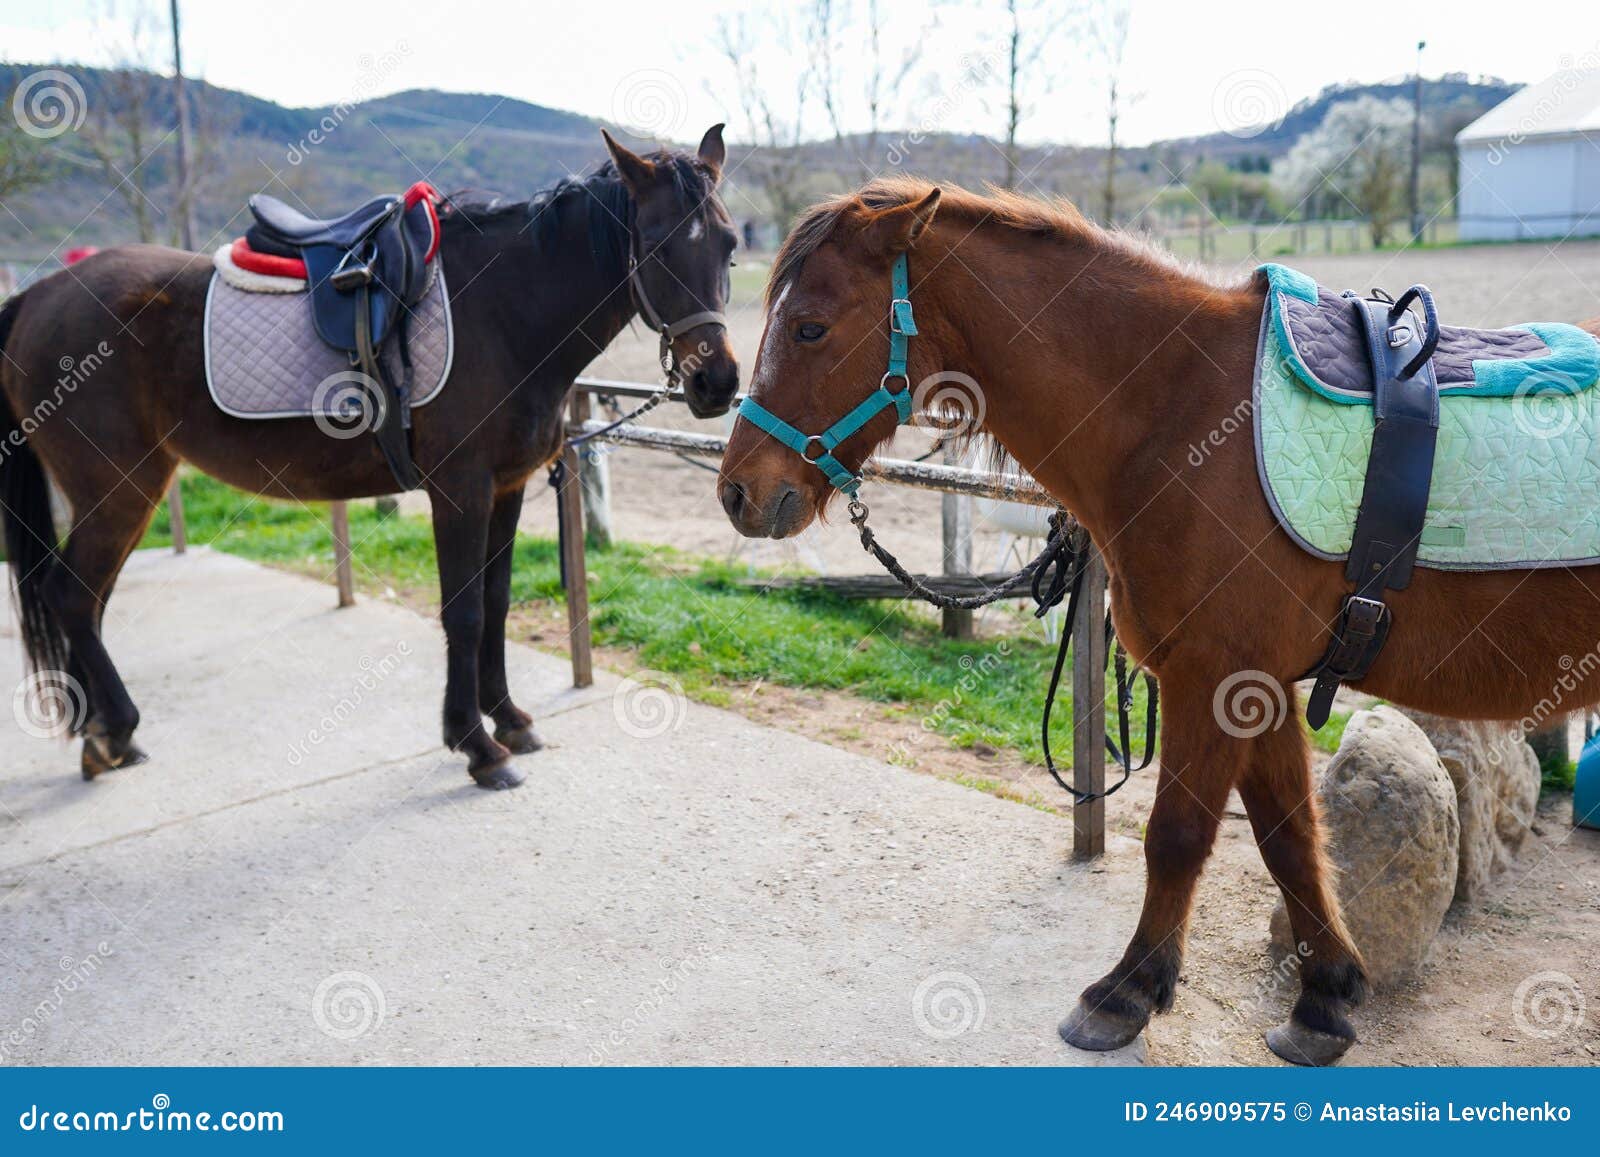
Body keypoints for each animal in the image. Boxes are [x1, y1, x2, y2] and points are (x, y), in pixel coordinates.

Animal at [0, 126, 739, 790]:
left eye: (731, 247)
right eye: (658, 244)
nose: (718, 382)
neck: (502, 310)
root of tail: (37, 295)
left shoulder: (505, 488)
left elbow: (496, 602)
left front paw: (509, 719)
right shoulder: (461, 489)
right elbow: (463, 612)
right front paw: (476, 745)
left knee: (87, 600)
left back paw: (103, 736)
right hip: (118, 489)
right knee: (72, 595)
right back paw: (115, 729)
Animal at [713, 176, 1600, 1065]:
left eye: (810, 325)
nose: (737, 491)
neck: (1181, 410)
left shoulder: (1216, 678)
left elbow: (1177, 835)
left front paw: (1127, 992)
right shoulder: (1262, 684)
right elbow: (1288, 836)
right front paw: (1323, 997)